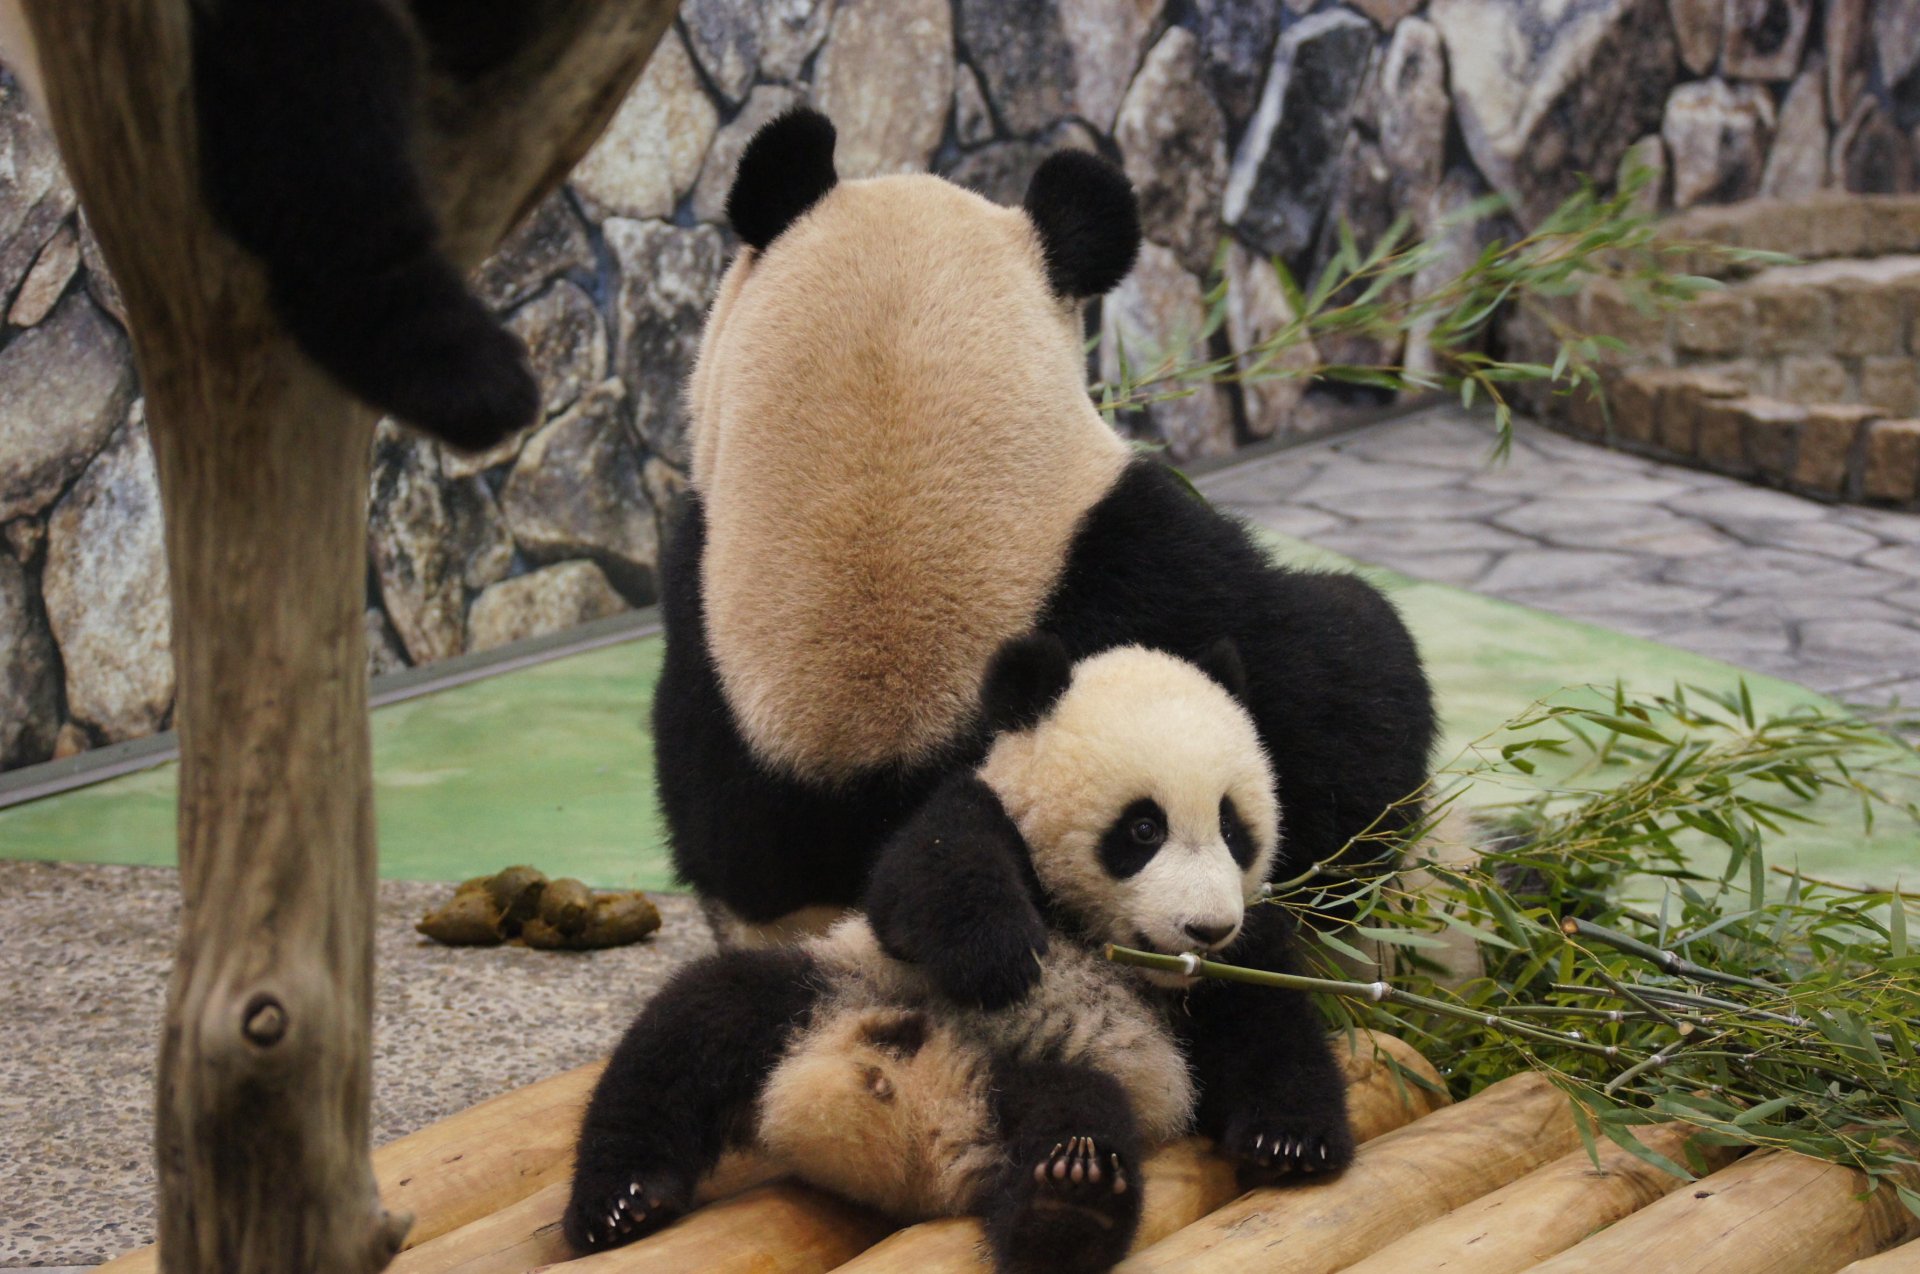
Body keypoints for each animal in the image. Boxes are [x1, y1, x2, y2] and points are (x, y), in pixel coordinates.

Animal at [568, 635, 1352, 1274]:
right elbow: (926, 875)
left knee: (1076, 1117)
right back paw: (621, 1202)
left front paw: (1291, 1144)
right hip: (838, 984)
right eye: (1142, 828)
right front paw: (1000, 960)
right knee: (695, 1026)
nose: (1206, 929)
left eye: (1233, 828)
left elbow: (1266, 1024)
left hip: (1076, 1070)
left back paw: (1070, 1199)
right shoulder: (970, 819)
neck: (1093, 937)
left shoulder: (1240, 951)